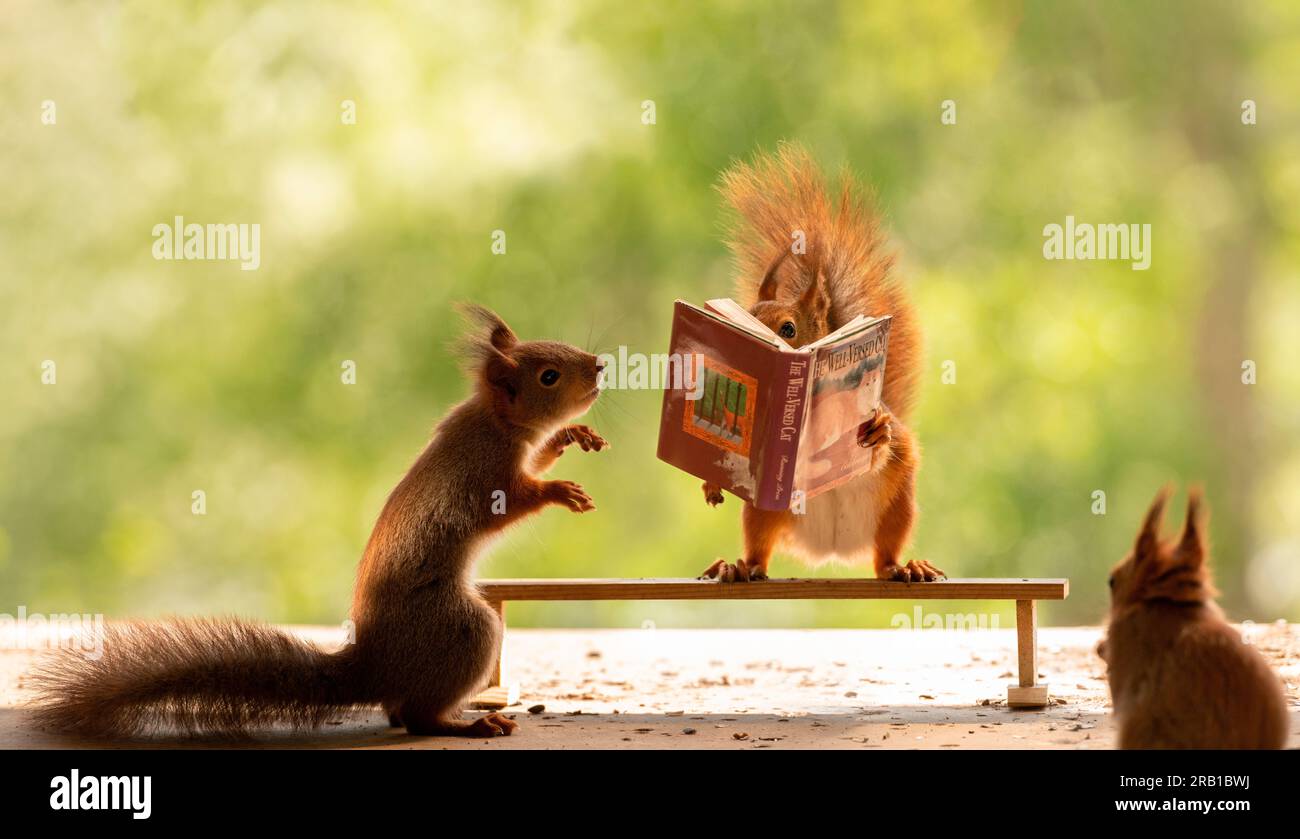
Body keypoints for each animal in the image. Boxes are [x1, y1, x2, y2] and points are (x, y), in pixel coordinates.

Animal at [29, 306, 608, 738]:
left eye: (557, 346)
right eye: (548, 376)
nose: (600, 365)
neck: (496, 421)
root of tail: (376, 664)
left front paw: (569, 438)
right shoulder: (488, 474)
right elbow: (514, 499)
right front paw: (561, 491)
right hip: (461, 626)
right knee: (417, 717)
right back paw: (468, 725)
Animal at [698, 143, 944, 584]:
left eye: (789, 328)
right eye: (747, 314)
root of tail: (830, 549)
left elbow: (880, 443)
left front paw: (877, 432)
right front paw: (711, 481)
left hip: (897, 510)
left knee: (885, 558)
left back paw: (906, 567)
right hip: (762, 511)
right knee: (760, 551)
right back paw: (739, 566)